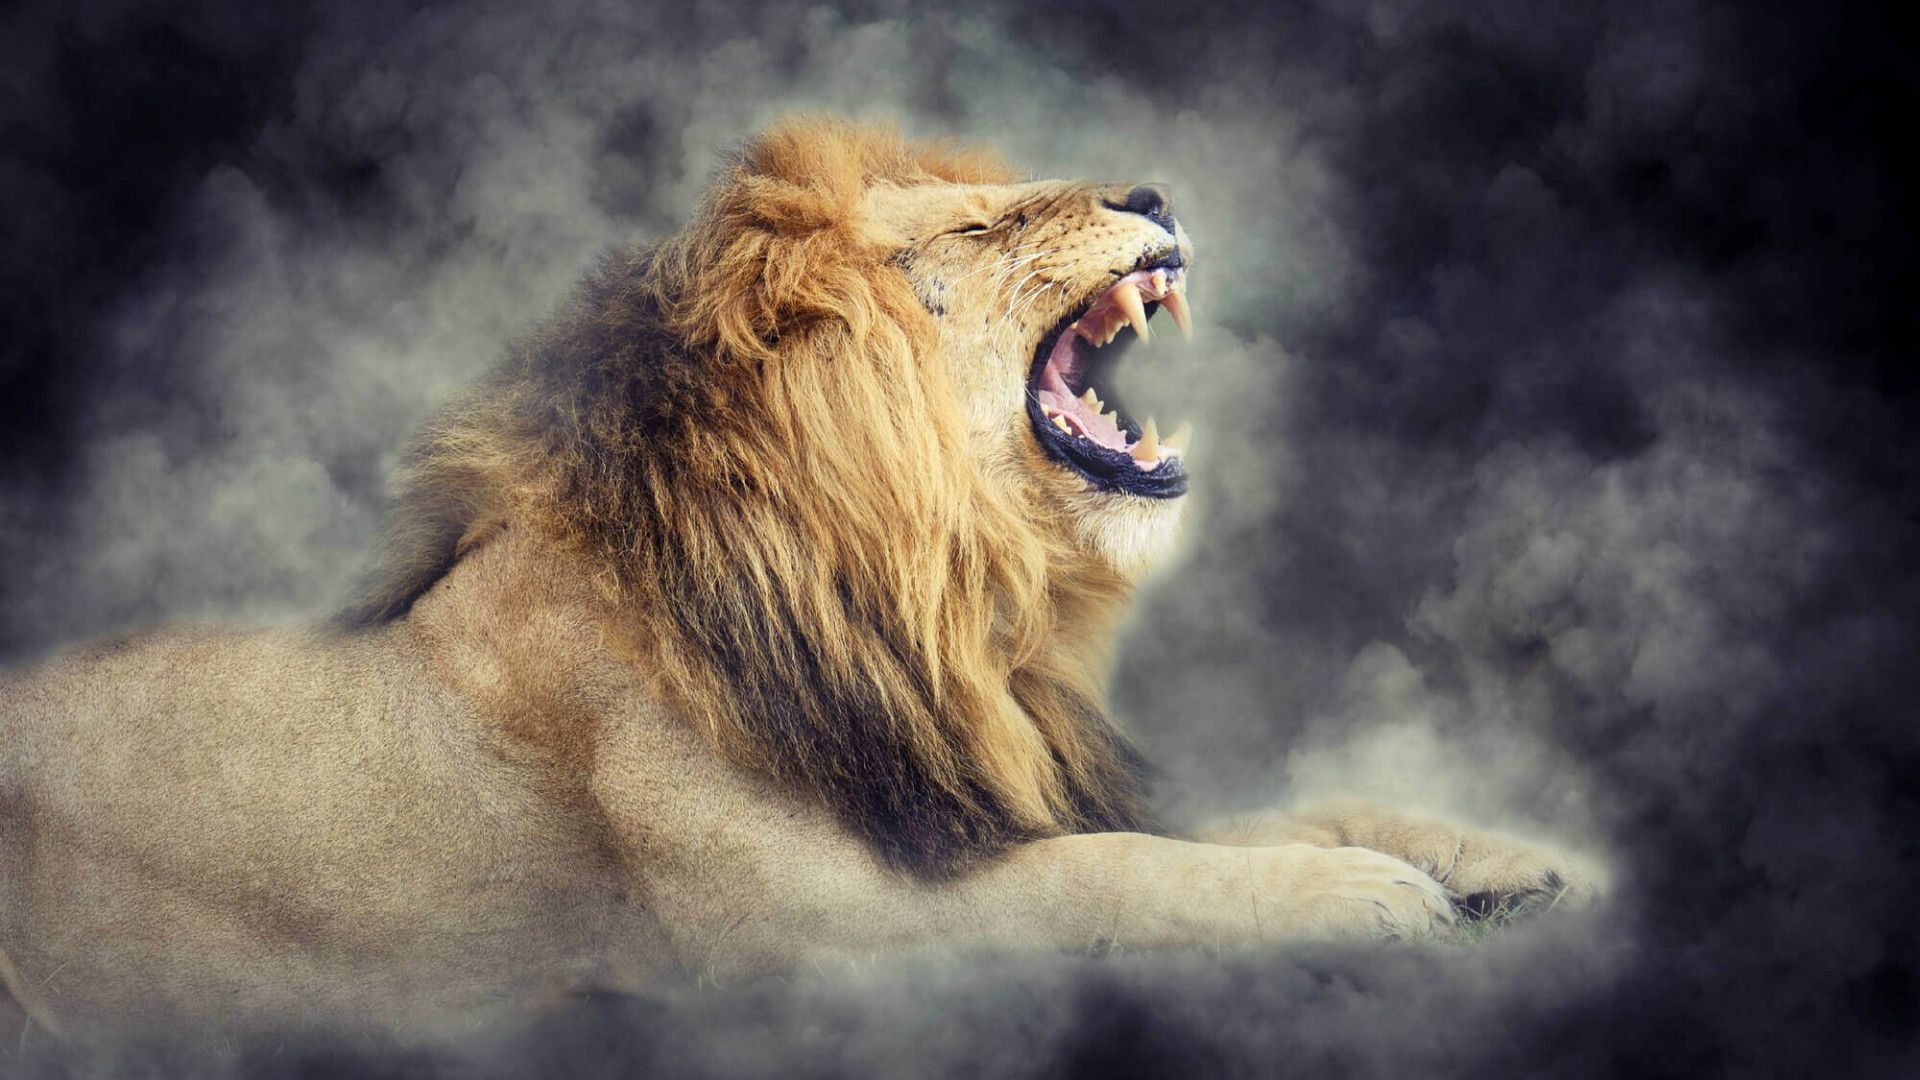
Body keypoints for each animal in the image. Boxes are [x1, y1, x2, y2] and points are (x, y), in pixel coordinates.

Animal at [0, 116, 1592, 1047]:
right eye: (976, 229)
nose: (1152, 187)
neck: (950, 608)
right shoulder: (839, 931)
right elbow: (1131, 873)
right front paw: (1360, 899)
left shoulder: (978, 791)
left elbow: (1272, 810)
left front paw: (1492, 855)